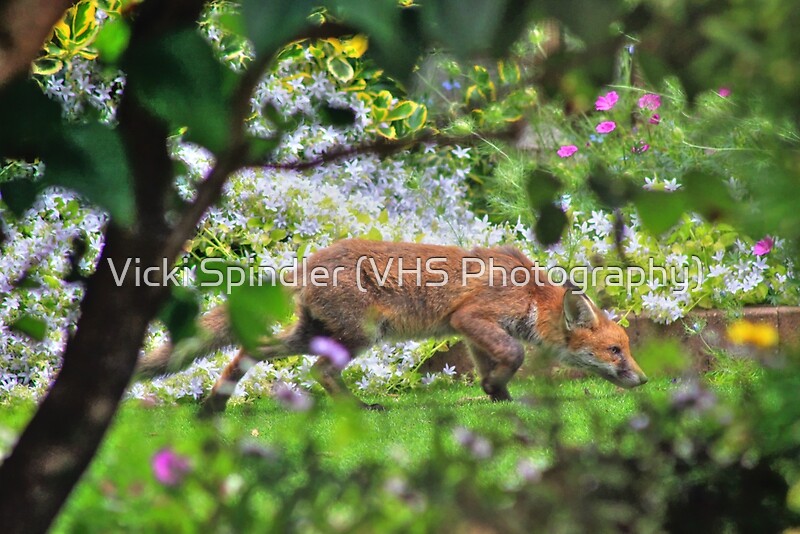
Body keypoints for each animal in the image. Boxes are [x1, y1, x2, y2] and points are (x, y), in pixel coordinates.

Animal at [136, 239, 647, 413]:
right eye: (616, 351)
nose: (643, 381)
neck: (533, 299)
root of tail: (307, 263)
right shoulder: (472, 317)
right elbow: (515, 354)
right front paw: (499, 392)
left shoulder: (470, 331)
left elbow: (492, 367)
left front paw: (498, 397)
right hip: (357, 337)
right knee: (319, 371)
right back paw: (360, 408)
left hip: (312, 335)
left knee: (249, 351)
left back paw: (213, 408)